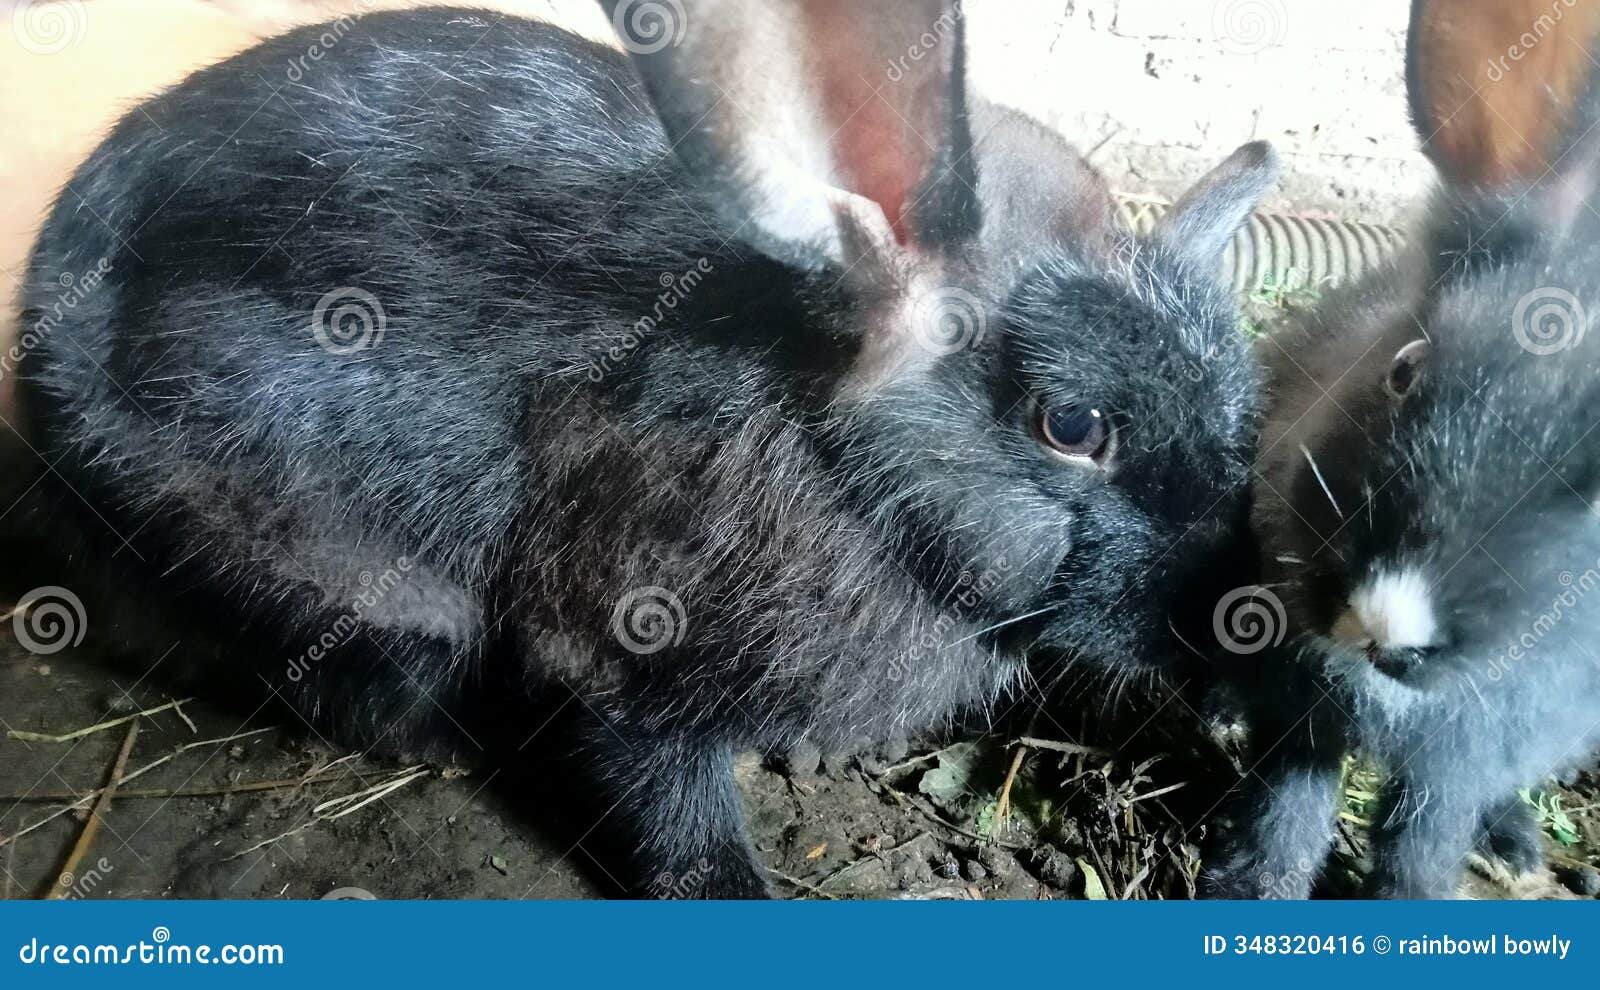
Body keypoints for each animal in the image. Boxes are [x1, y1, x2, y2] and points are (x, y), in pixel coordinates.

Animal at [10, 1, 1276, 898]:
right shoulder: (631, 655)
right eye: (1073, 427)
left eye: (1238, 404)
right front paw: (730, 892)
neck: (846, 470)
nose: (1236, 617)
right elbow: (662, 793)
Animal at [1202, 0, 1600, 900]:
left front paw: (1410, 899)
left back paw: (1516, 848)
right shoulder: (1302, 698)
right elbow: (1289, 801)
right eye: (1404, 371)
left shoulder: (1464, 747)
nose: (1386, 620)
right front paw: (1250, 888)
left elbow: (1424, 834)